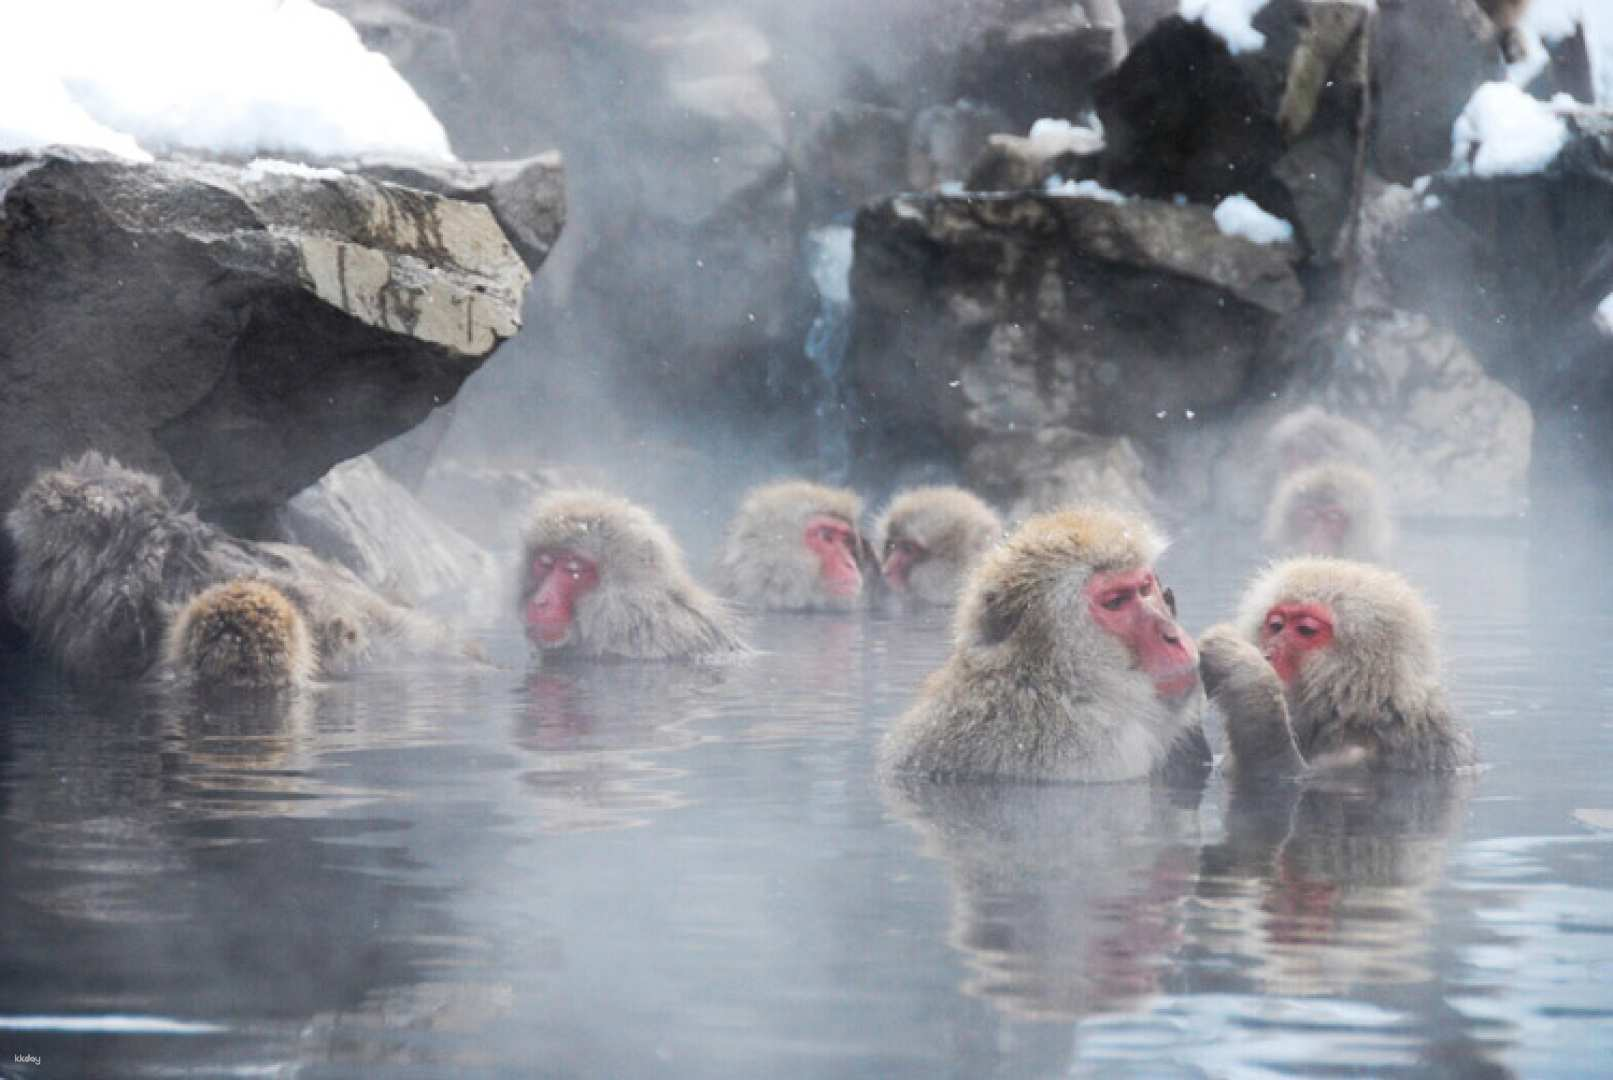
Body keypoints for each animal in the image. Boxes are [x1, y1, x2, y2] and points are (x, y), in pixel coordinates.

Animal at [1197, 557, 1476, 782]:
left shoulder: (1379, 749)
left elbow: (1285, 772)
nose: (1268, 654)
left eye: (1305, 630)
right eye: (1276, 625)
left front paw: (1241, 667)